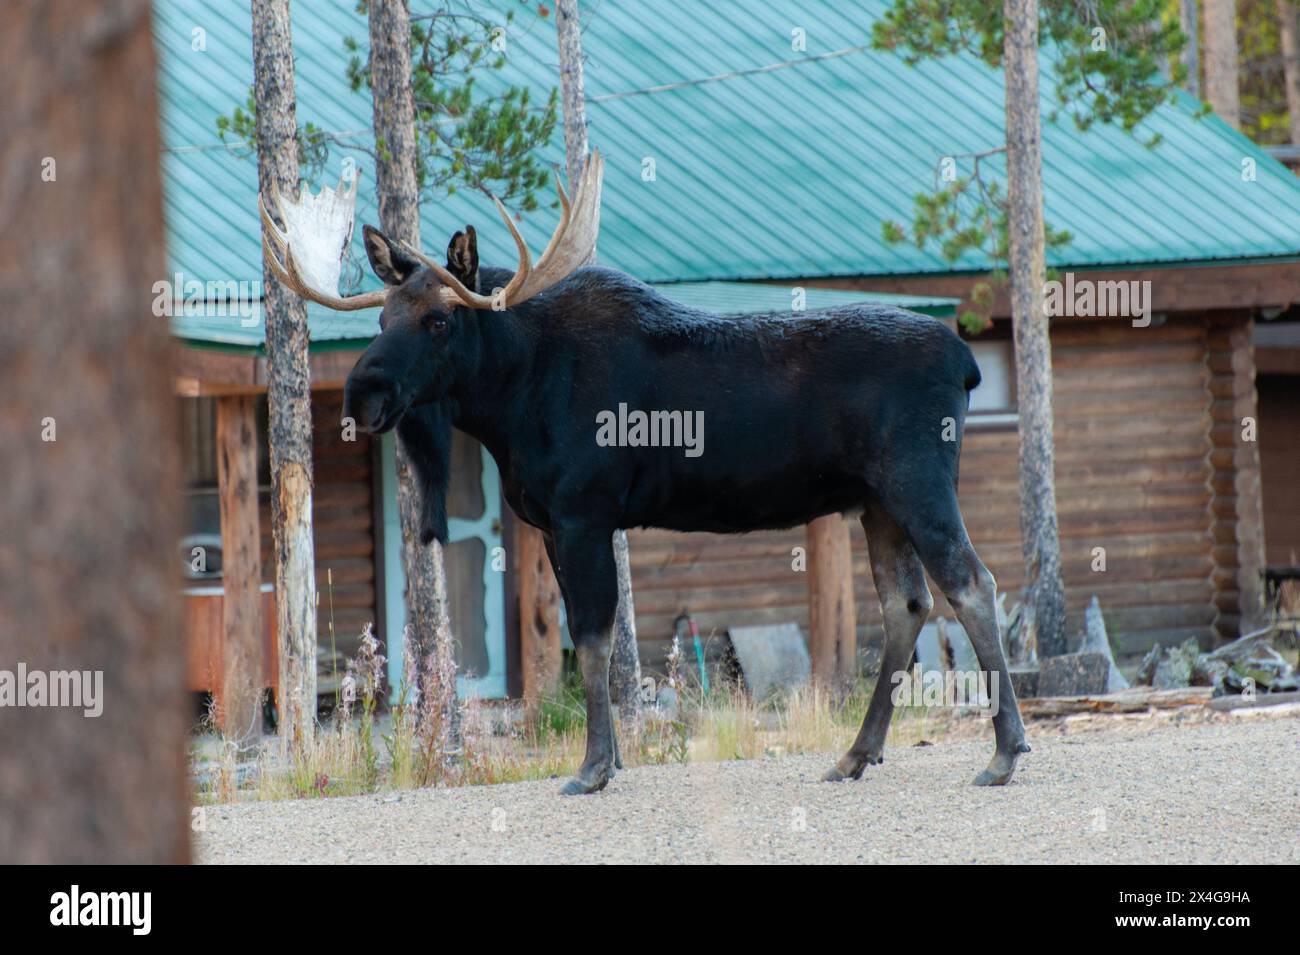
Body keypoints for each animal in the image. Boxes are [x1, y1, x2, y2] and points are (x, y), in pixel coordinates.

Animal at [258, 150, 1030, 796]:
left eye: (441, 321)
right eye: (382, 316)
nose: (362, 395)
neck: (512, 398)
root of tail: (967, 363)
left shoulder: (584, 512)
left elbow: (595, 636)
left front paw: (593, 767)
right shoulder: (551, 522)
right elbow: (590, 637)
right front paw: (613, 758)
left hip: (916, 478)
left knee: (973, 582)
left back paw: (1004, 751)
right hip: (875, 500)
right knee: (908, 604)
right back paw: (855, 754)